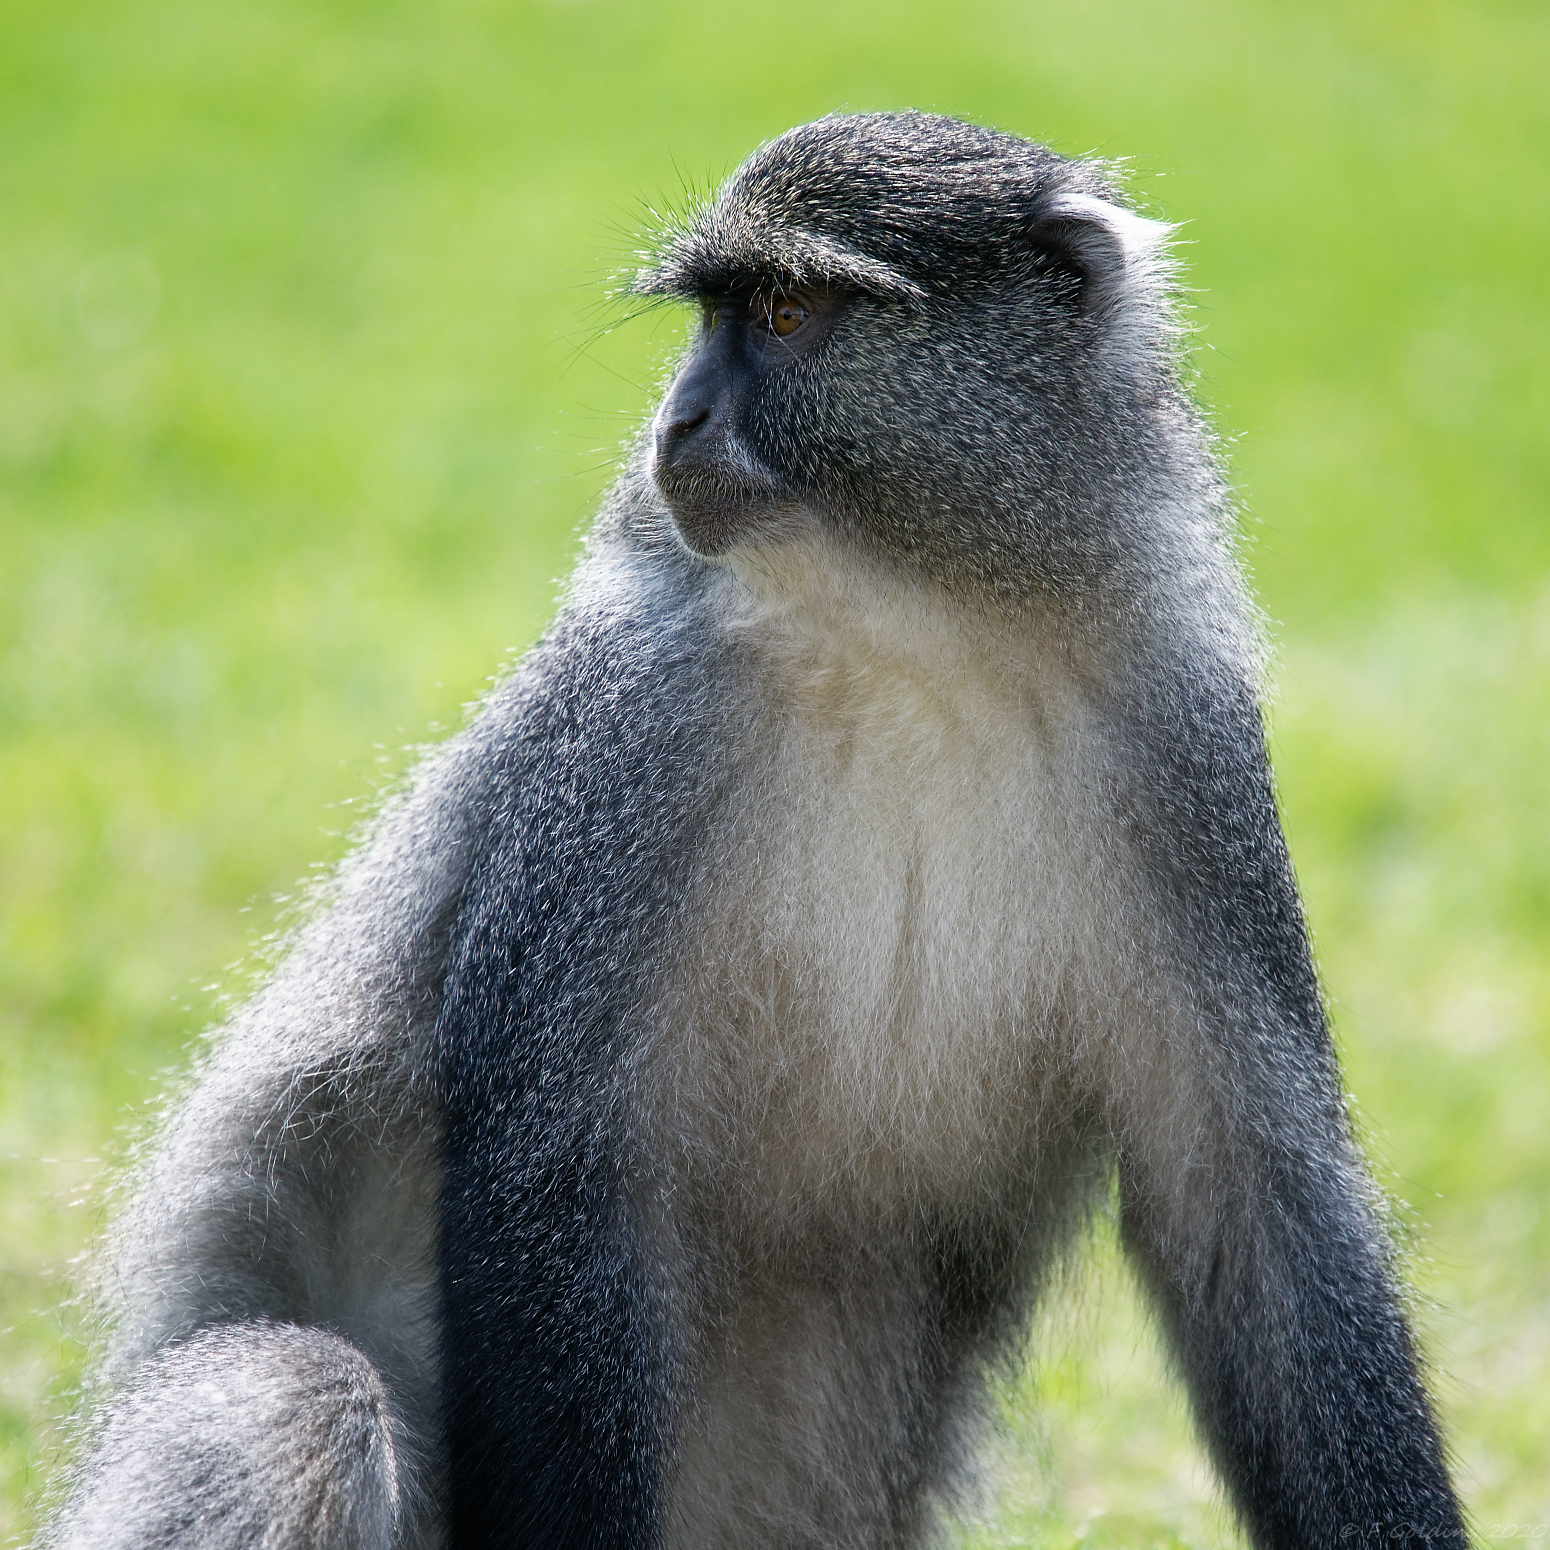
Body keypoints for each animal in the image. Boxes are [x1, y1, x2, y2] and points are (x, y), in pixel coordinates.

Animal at [46, 111, 1466, 1550]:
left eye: (785, 314)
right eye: (710, 318)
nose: (676, 419)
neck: (916, 644)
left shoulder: (1183, 744)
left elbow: (1262, 1223)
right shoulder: (629, 734)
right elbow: (553, 1180)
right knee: (291, 1393)